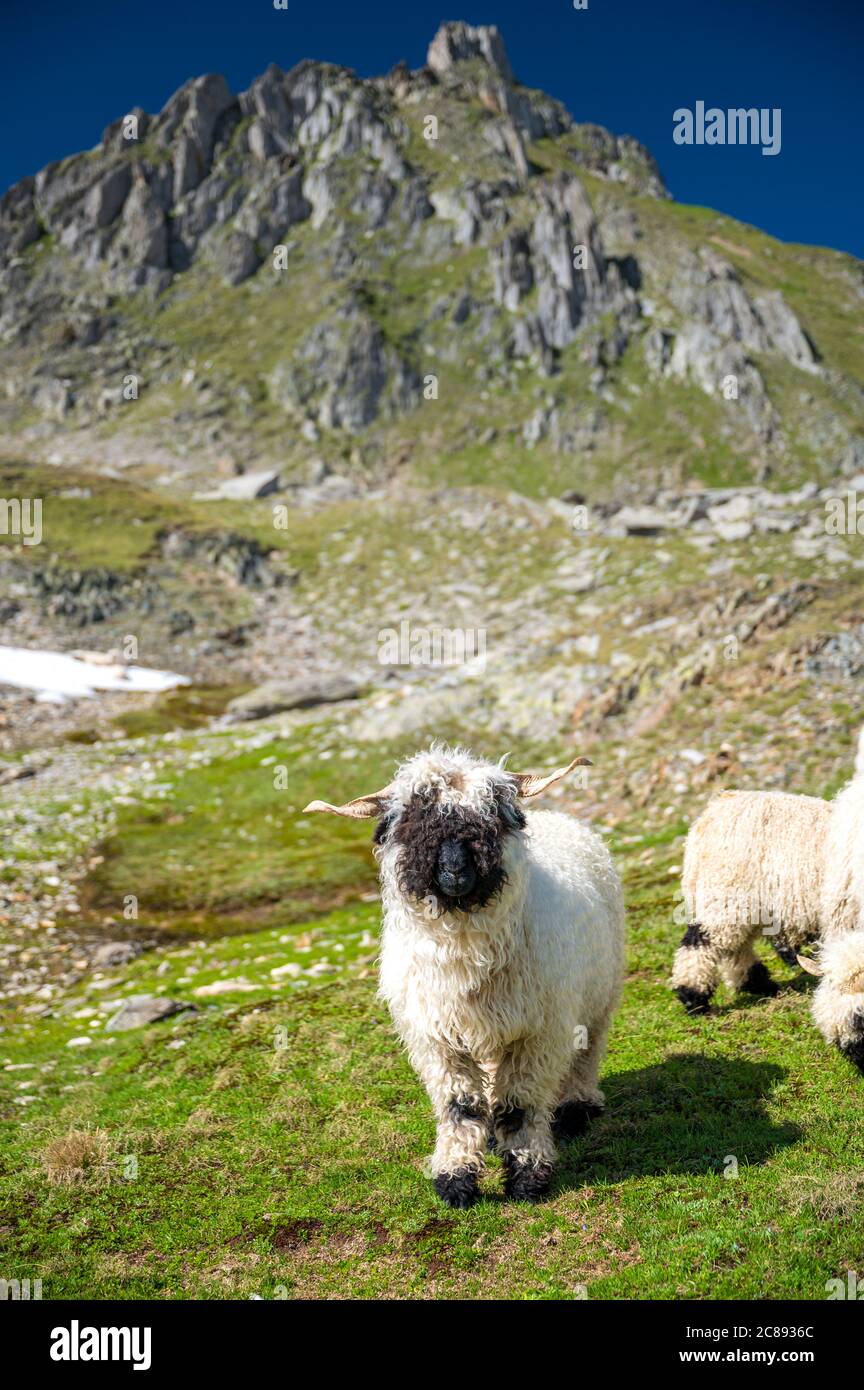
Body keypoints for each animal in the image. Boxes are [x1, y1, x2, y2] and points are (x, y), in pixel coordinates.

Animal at [305, 743, 625, 1207]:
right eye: (409, 820)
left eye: (496, 815)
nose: (455, 869)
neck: (465, 957)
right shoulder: (436, 1037)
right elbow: (460, 1106)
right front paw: (455, 1177)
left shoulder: (539, 1031)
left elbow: (521, 1103)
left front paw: (528, 1176)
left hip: (599, 996)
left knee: (587, 1051)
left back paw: (576, 1108)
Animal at [671, 730, 864, 1070]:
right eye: (857, 1020)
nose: (856, 1060)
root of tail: (718, 806)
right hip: (726, 895)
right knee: (702, 943)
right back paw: (694, 998)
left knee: (735, 947)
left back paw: (757, 984)